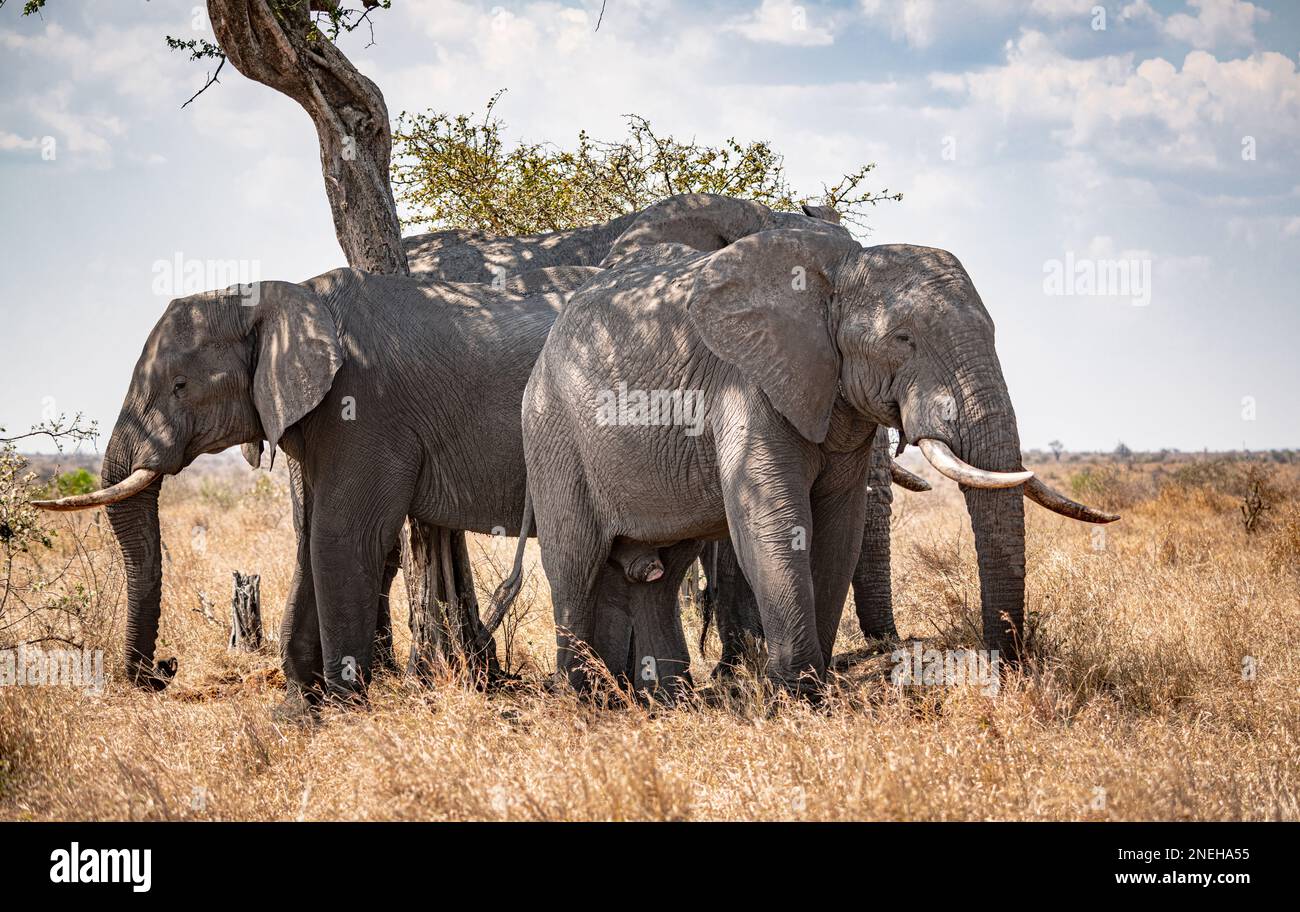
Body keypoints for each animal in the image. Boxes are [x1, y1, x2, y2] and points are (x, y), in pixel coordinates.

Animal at [519, 222, 1115, 696]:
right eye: (902, 339)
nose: (1005, 666)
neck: (836, 275)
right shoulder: (747, 381)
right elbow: (776, 519)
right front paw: (797, 697)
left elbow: (838, 526)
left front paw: (813, 686)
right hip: (552, 432)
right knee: (574, 564)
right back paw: (584, 700)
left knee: (659, 574)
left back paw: (668, 699)